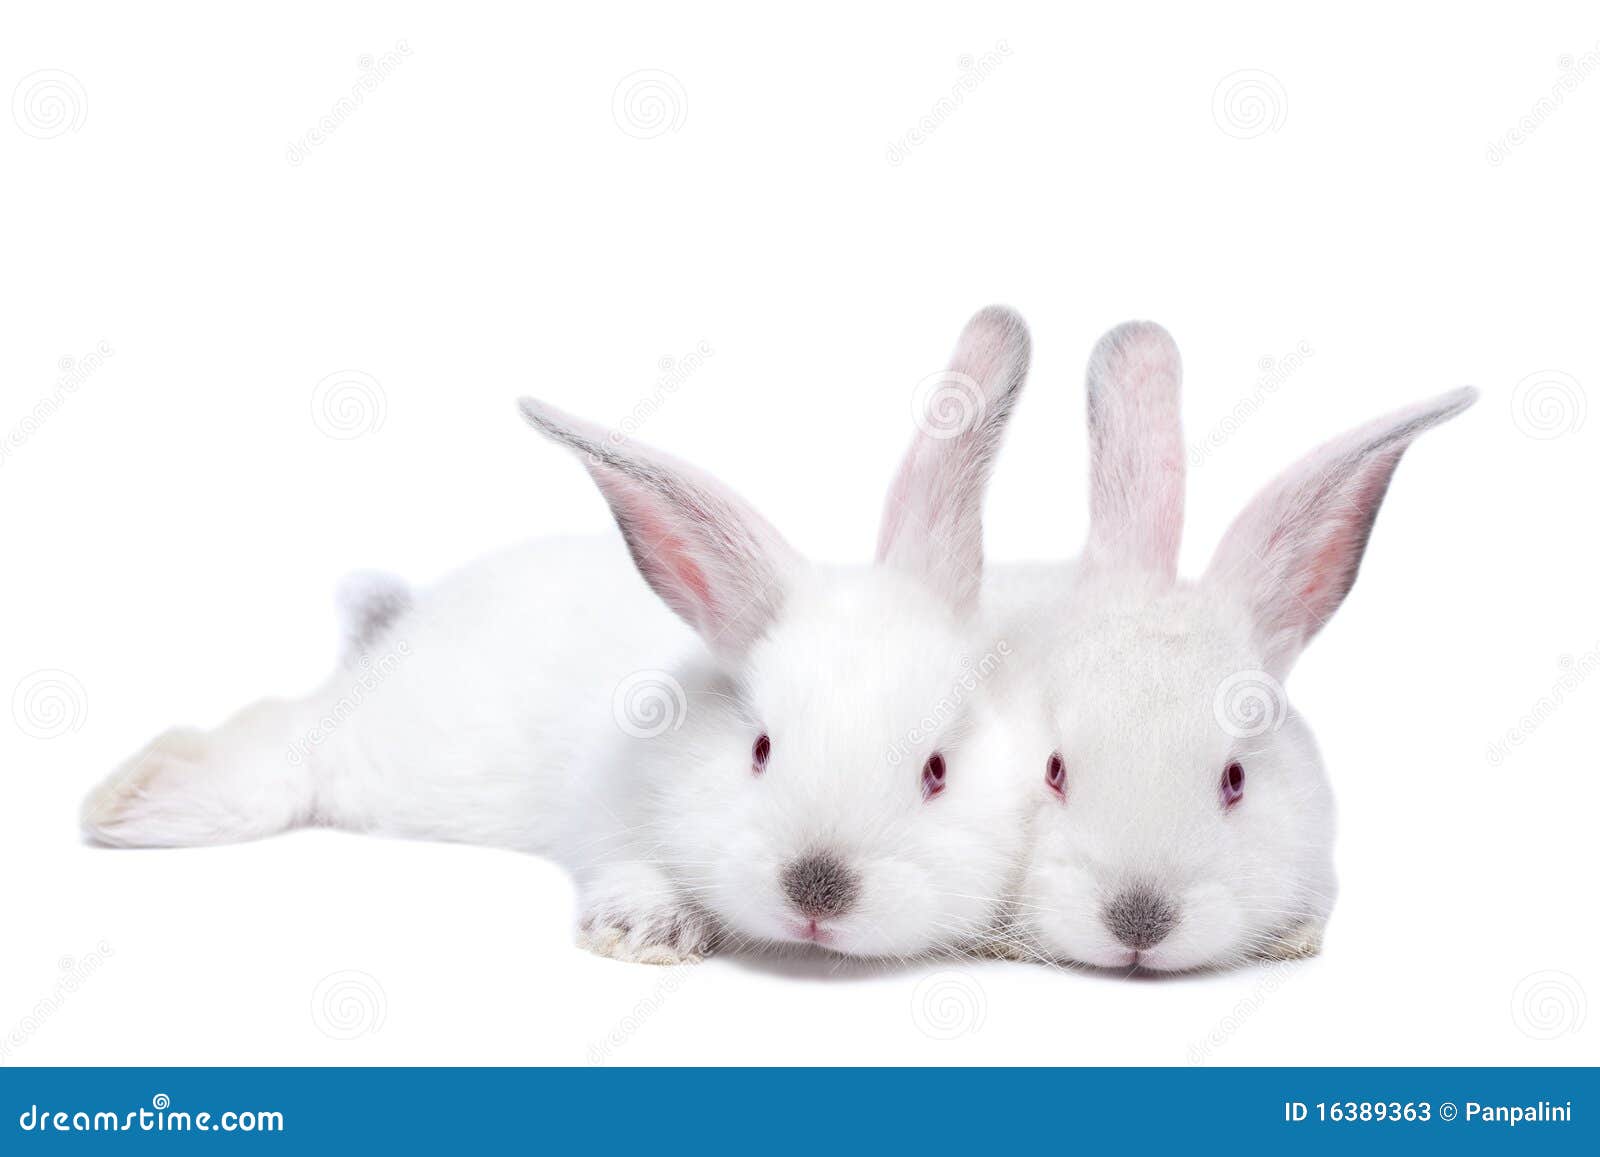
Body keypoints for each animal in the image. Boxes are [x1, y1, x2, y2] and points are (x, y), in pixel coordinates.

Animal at [81, 306, 1041, 965]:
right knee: (283, 744)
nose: (818, 891)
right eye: (761, 749)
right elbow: (624, 857)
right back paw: (132, 797)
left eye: (937, 771)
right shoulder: (609, 805)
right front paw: (644, 929)